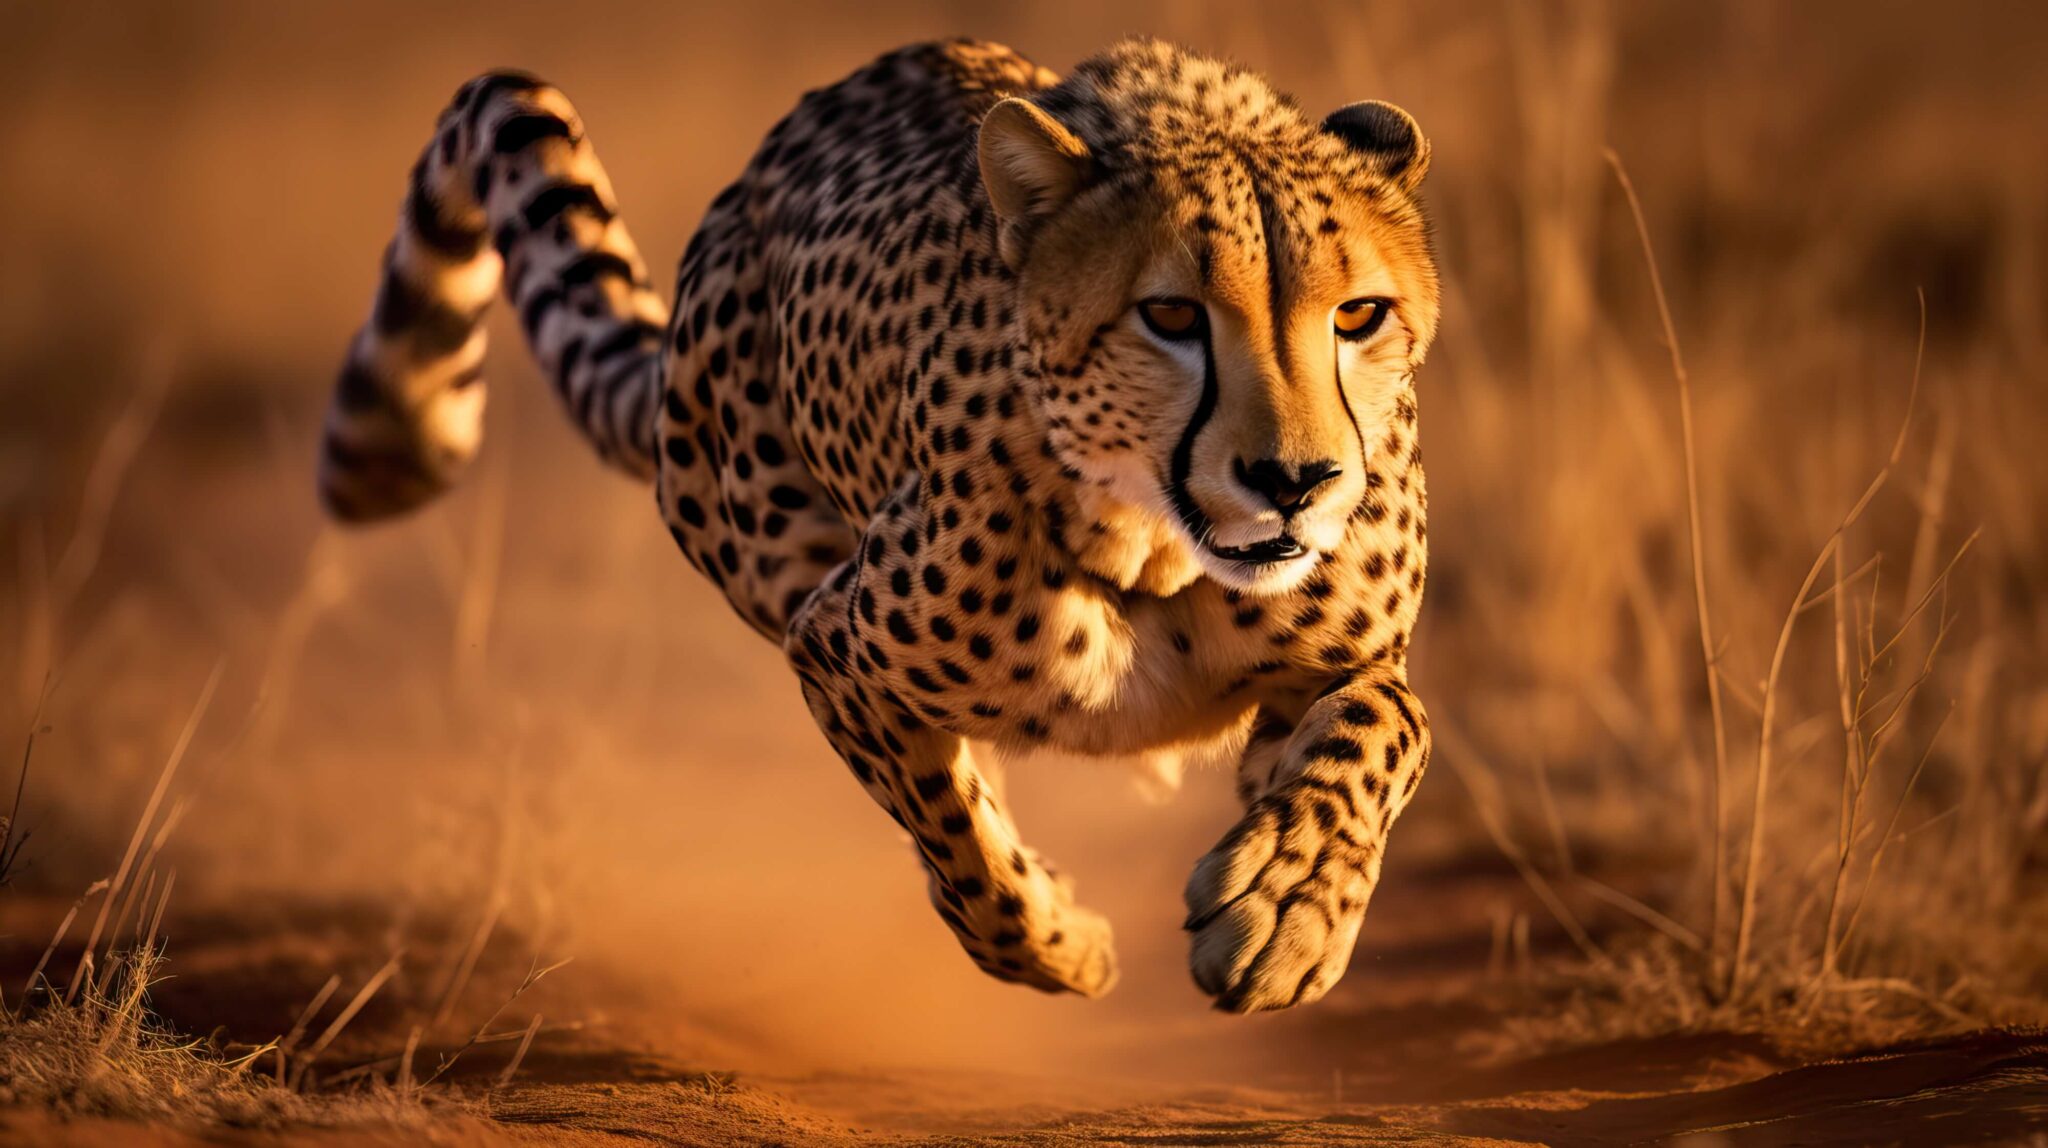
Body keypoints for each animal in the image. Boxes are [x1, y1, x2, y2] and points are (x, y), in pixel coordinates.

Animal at [318, 37, 1439, 1013]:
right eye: (1169, 317)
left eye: (1358, 315)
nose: (1293, 480)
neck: (1163, 555)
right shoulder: (833, 644)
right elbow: (957, 838)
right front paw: (1062, 940)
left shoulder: (1333, 671)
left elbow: (1385, 728)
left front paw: (1289, 908)